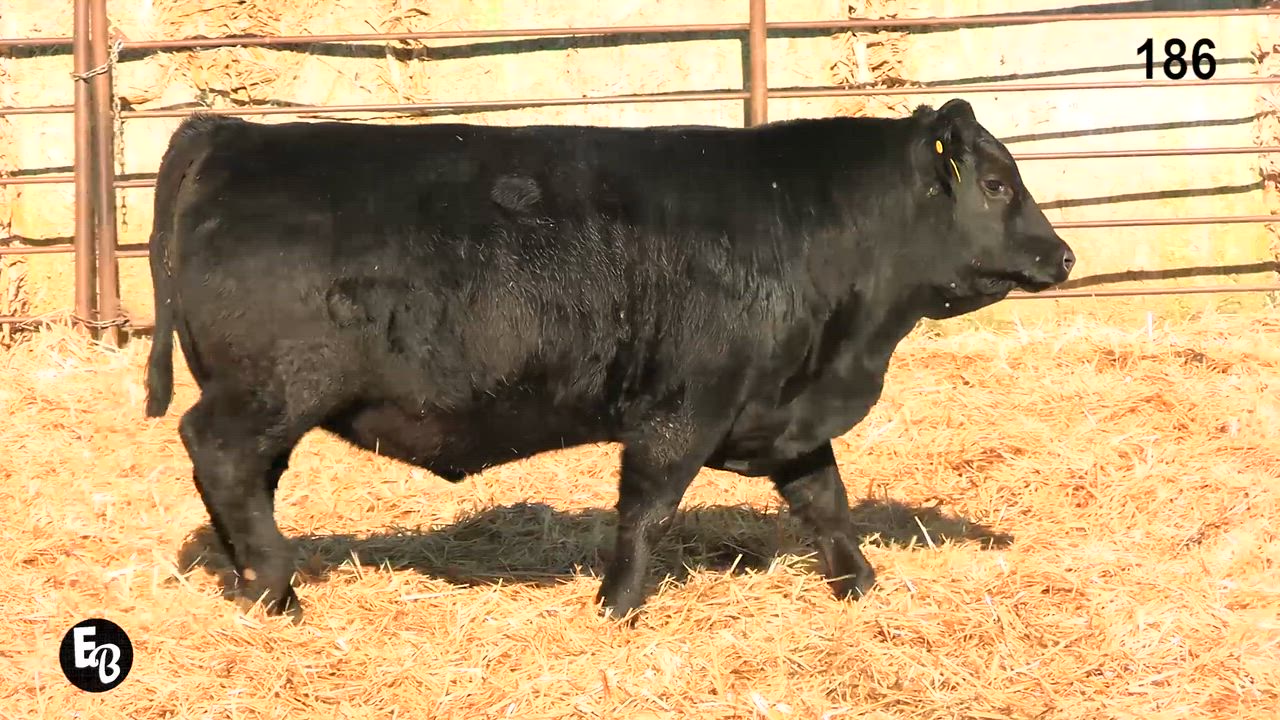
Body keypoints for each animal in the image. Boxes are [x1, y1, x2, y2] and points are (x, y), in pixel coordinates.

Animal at [143, 98, 1074, 622]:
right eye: (998, 185)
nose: (1062, 257)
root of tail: (233, 135)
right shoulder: (681, 412)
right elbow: (647, 515)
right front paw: (617, 609)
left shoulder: (781, 411)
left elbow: (828, 504)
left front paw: (863, 587)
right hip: (268, 390)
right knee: (218, 455)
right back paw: (275, 589)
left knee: (243, 481)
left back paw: (252, 581)